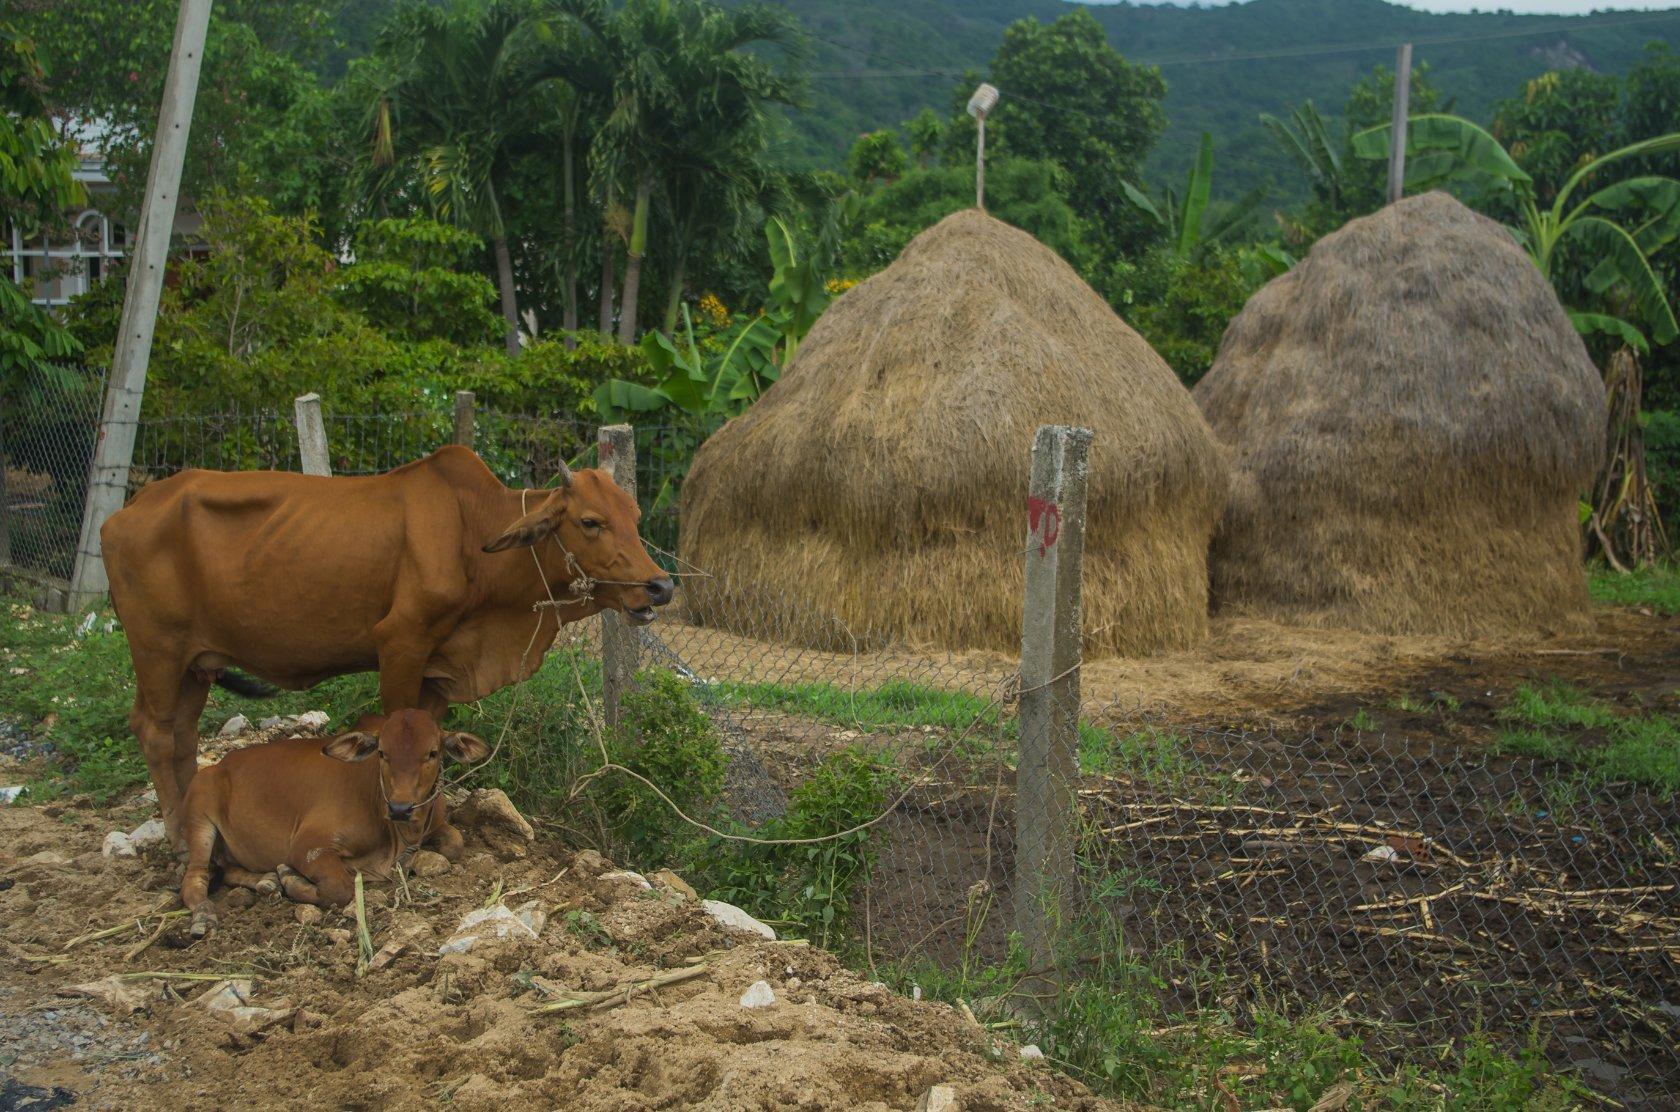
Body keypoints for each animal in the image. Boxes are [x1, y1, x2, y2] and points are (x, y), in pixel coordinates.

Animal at [99, 443, 668, 846]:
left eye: (637, 518)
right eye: (590, 521)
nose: (660, 586)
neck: (471, 533)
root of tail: (126, 510)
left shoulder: (438, 669)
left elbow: (432, 741)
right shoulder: (401, 644)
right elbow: (397, 730)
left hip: (195, 664)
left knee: (183, 735)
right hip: (157, 651)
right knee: (156, 734)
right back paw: (177, 833)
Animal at [180, 708, 490, 933]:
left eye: (432, 753)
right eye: (382, 753)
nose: (400, 807)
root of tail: (221, 764)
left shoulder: (437, 825)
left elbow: (455, 845)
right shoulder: (307, 847)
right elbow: (340, 889)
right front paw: (291, 878)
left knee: (229, 871)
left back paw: (266, 880)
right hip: (198, 814)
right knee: (194, 879)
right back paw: (205, 914)